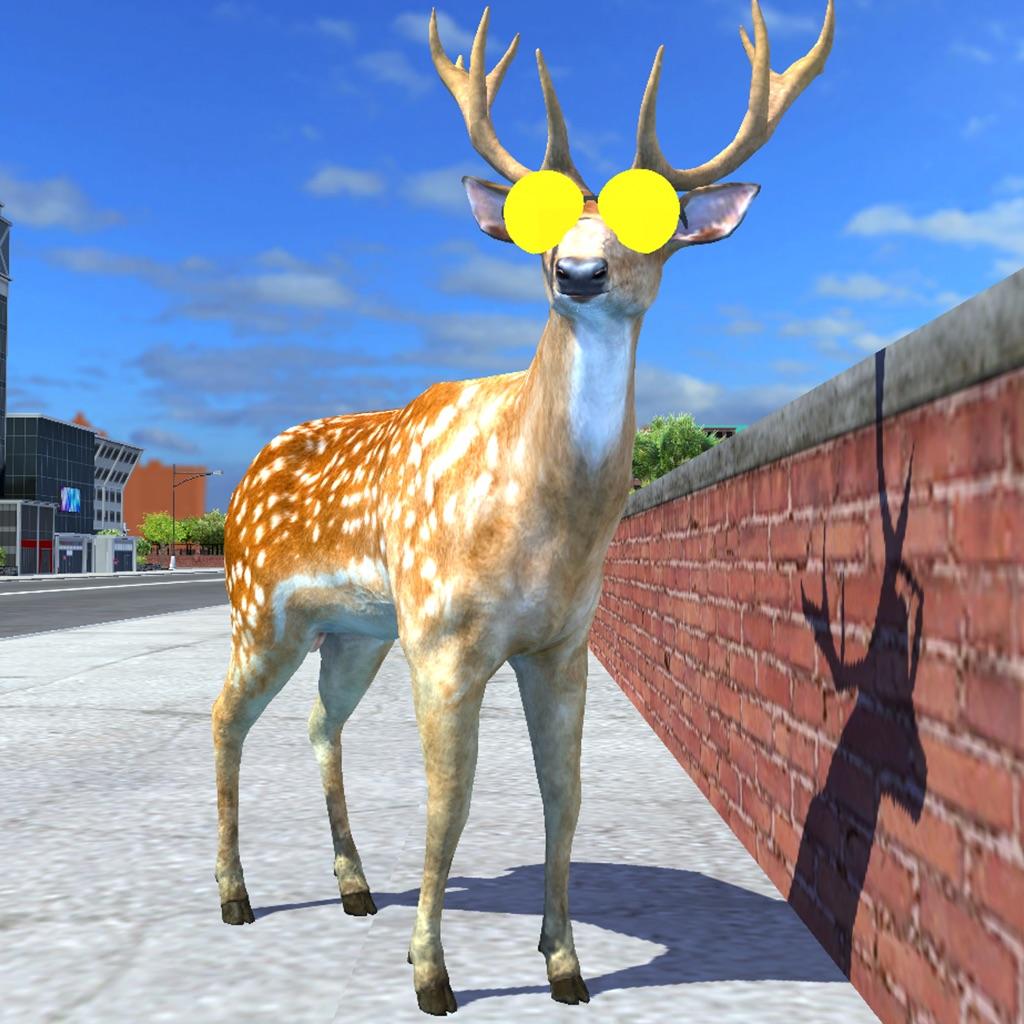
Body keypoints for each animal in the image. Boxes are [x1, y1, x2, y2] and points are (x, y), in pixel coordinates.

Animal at [211, 2, 834, 1015]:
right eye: (542, 224)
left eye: (652, 225)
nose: (576, 272)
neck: (543, 530)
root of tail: (244, 476)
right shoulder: (445, 634)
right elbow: (449, 799)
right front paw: (433, 976)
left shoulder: (562, 641)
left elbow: (563, 791)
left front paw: (564, 963)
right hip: (261, 604)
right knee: (227, 716)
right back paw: (234, 897)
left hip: (354, 630)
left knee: (318, 722)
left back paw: (353, 888)